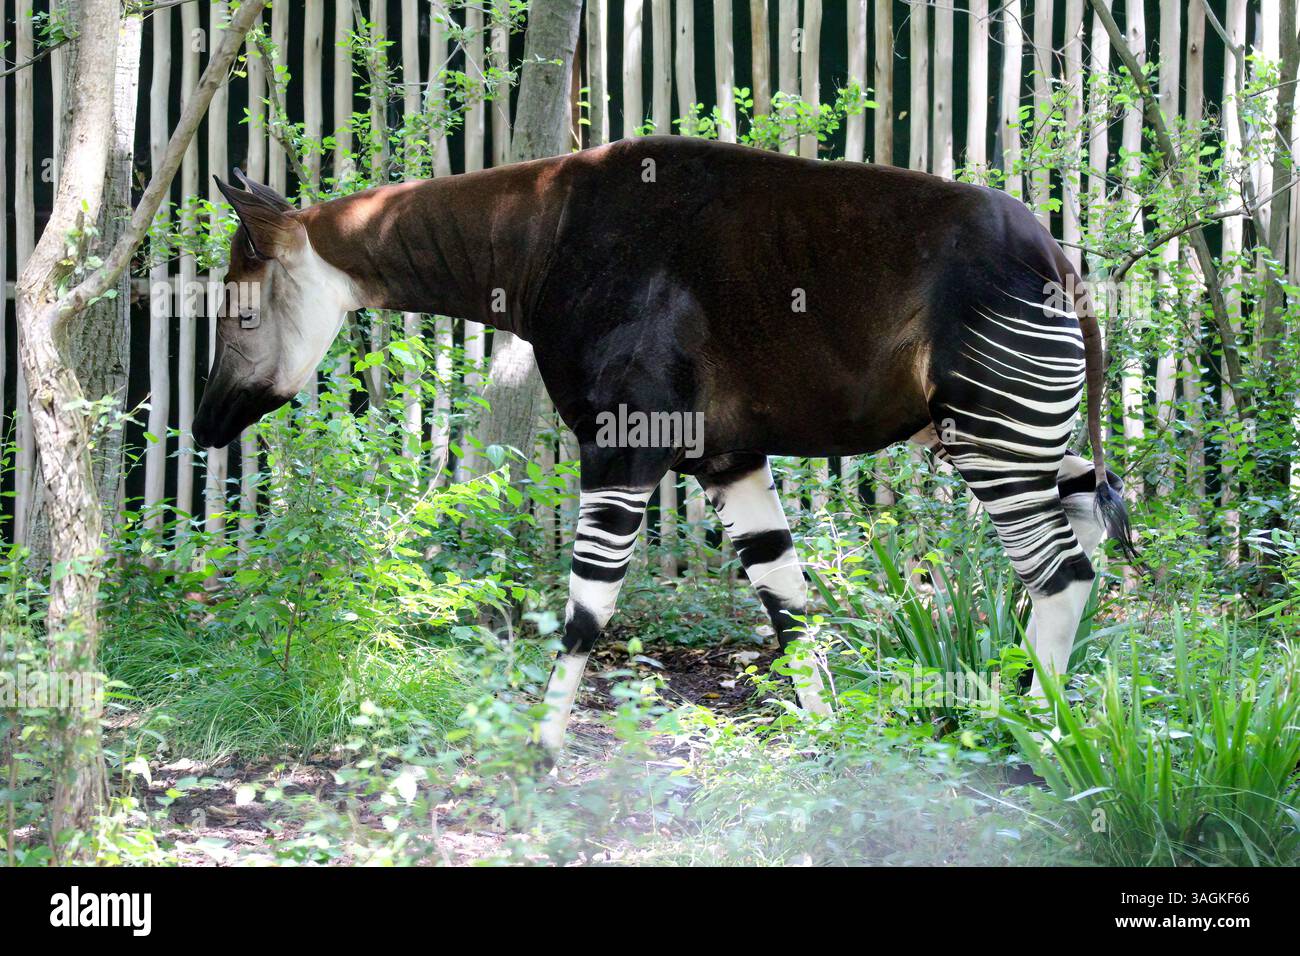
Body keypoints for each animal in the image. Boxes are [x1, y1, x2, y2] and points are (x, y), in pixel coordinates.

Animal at [192, 136, 1136, 757]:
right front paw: (832, 740)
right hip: (1012, 428)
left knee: (1061, 569)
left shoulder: (623, 437)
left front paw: (541, 749)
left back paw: (1034, 732)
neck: (539, 241)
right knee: (1089, 518)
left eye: (239, 315)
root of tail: (1063, 261)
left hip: (993, 431)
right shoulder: (725, 457)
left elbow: (588, 606)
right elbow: (787, 602)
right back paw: (1026, 710)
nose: (203, 428)